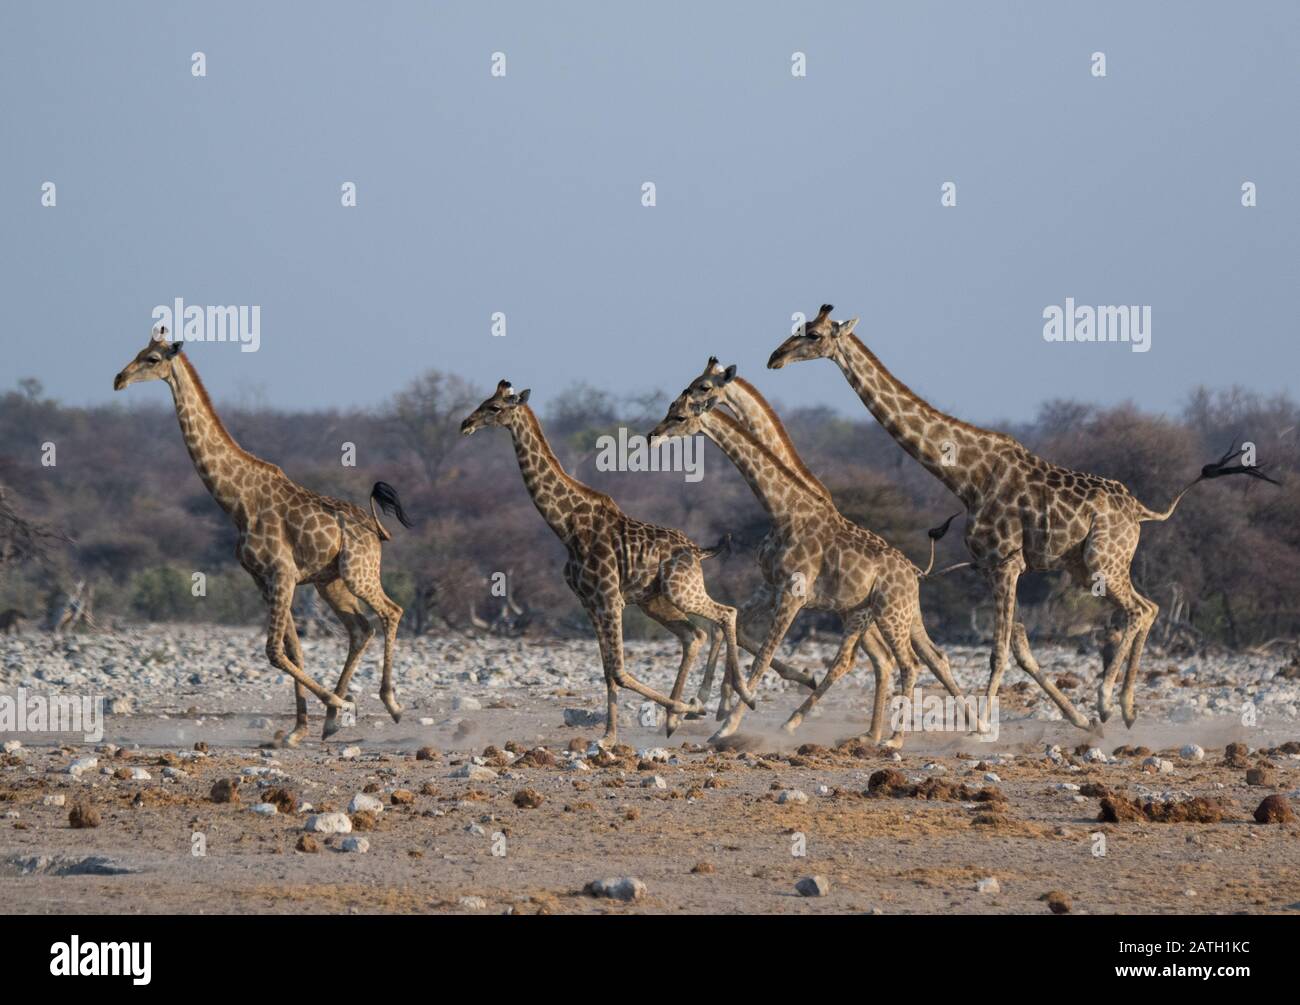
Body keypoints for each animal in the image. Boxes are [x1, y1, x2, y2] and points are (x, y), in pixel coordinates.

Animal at [114, 326, 412, 746]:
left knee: (390, 612)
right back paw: (331, 721)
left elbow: (273, 651)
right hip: (330, 581)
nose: (118, 379)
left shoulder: (281, 573)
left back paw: (391, 704)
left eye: (152, 359)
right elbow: (292, 650)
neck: (237, 501)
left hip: (359, 571)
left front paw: (336, 707)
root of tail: (376, 528)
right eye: (139, 351)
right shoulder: (264, 578)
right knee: (361, 627)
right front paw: (300, 729)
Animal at [459, 380, 743, 745]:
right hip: (656, 600)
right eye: (484, 401)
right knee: (696, 634)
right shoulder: (590, 603)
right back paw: (679, 716)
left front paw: (686, 710)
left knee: (725, 615)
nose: (465, 424)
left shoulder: (609, 599)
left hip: (681, 590)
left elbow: (619, 671)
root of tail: (698, 550)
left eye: (494, 407)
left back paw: (722, 702)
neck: (565, 525)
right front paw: (609, 736)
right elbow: (608, 672)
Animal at [649, 378, 964, 746]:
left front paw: (727, 724)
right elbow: (729, 626)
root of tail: (915, 572)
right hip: (895, 614)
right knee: (924, 657)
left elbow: (764, 654)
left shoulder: (794, 595)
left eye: (681, 415)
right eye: (670, 407)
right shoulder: (770, 587)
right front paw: (704, 705)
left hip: (882, 614)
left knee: (898, 663)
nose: (652, 436)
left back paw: (889, 738)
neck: (784, 509)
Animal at [768, 304, 1277, 728]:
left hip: (1103, 562)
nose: (774, 357)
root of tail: (1142, 511)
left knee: (1140, 609)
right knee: (1147, 608)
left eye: (813, 334)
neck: (965, 475)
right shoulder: (992, 565)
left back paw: (1109, 701)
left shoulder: (1006, 562)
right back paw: (1123, 710)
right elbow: (1017, 648)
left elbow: (998, 652)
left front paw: (984, 728)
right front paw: (1067, 719)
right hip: (1089, 565)